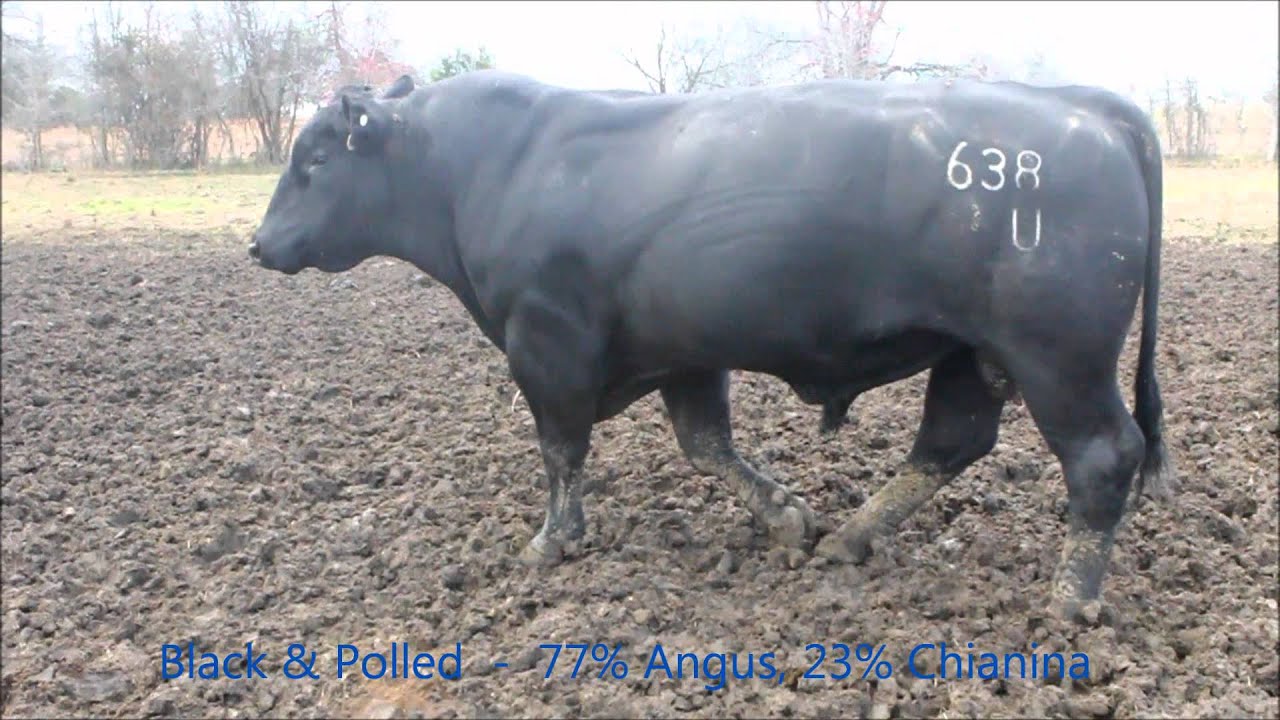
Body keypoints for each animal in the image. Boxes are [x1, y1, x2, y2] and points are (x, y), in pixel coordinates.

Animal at [247, 70, 1174, 619]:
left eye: (315, 158)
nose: (259, 244)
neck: (495, 166)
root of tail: (1087, 101)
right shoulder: (686, 350)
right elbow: (705, 444)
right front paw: (789, 516)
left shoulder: (546, 343)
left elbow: (560, 449)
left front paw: (553, 541)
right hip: (970, 352)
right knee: (951, 441)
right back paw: (850, 538)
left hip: (1058, 356)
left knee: (1102, 457)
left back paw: (1070, 602)